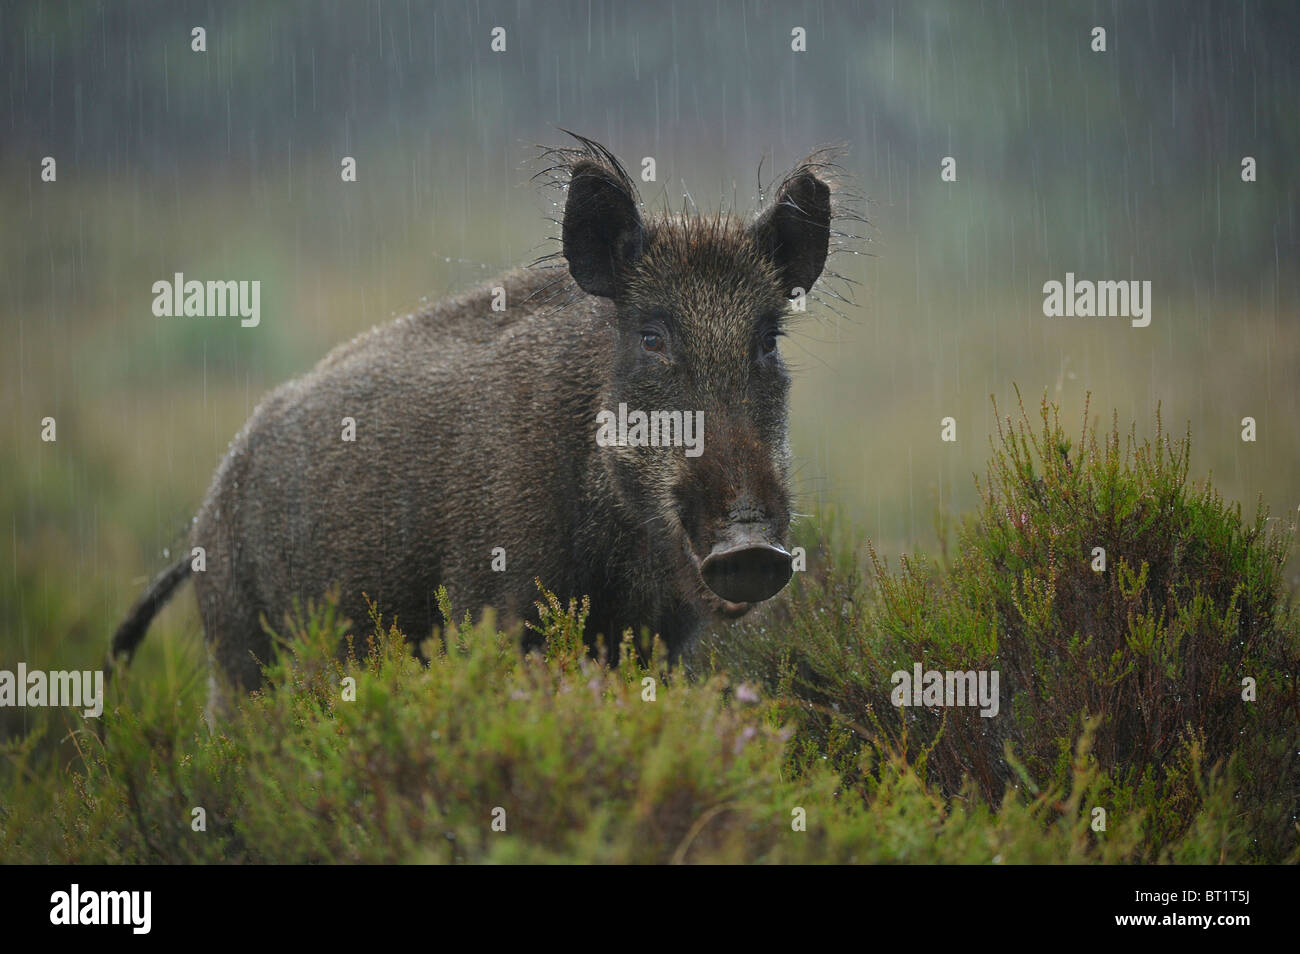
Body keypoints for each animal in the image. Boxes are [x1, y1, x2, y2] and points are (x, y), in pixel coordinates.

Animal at [107, 135, 840, 718]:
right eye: (652, 337)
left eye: (768, 340)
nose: (750, 548)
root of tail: (203, 520)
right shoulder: (486, 601)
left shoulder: (662, 638)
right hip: (238, 649)